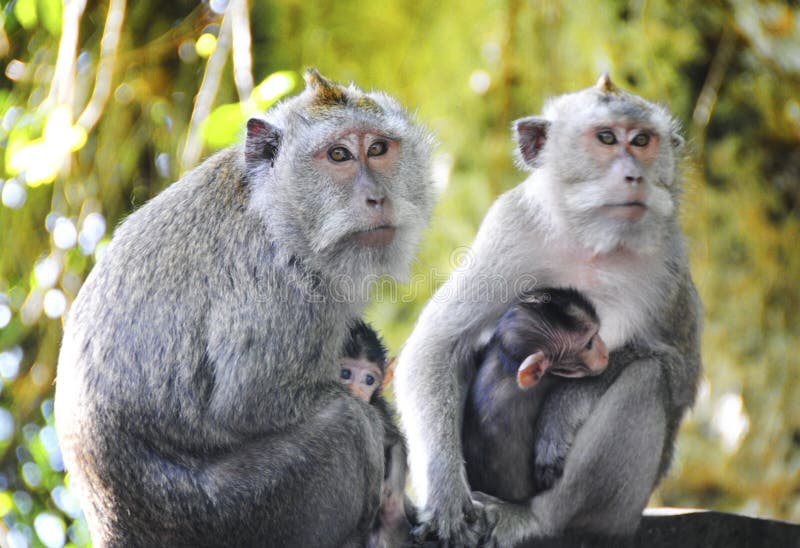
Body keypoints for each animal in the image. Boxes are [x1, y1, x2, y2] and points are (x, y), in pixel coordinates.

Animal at [339, 320, 411, 548]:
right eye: (345, 374)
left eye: (369, 379)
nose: (357, 391)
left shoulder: (375, 409)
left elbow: (395, 442)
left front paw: (392, 509)